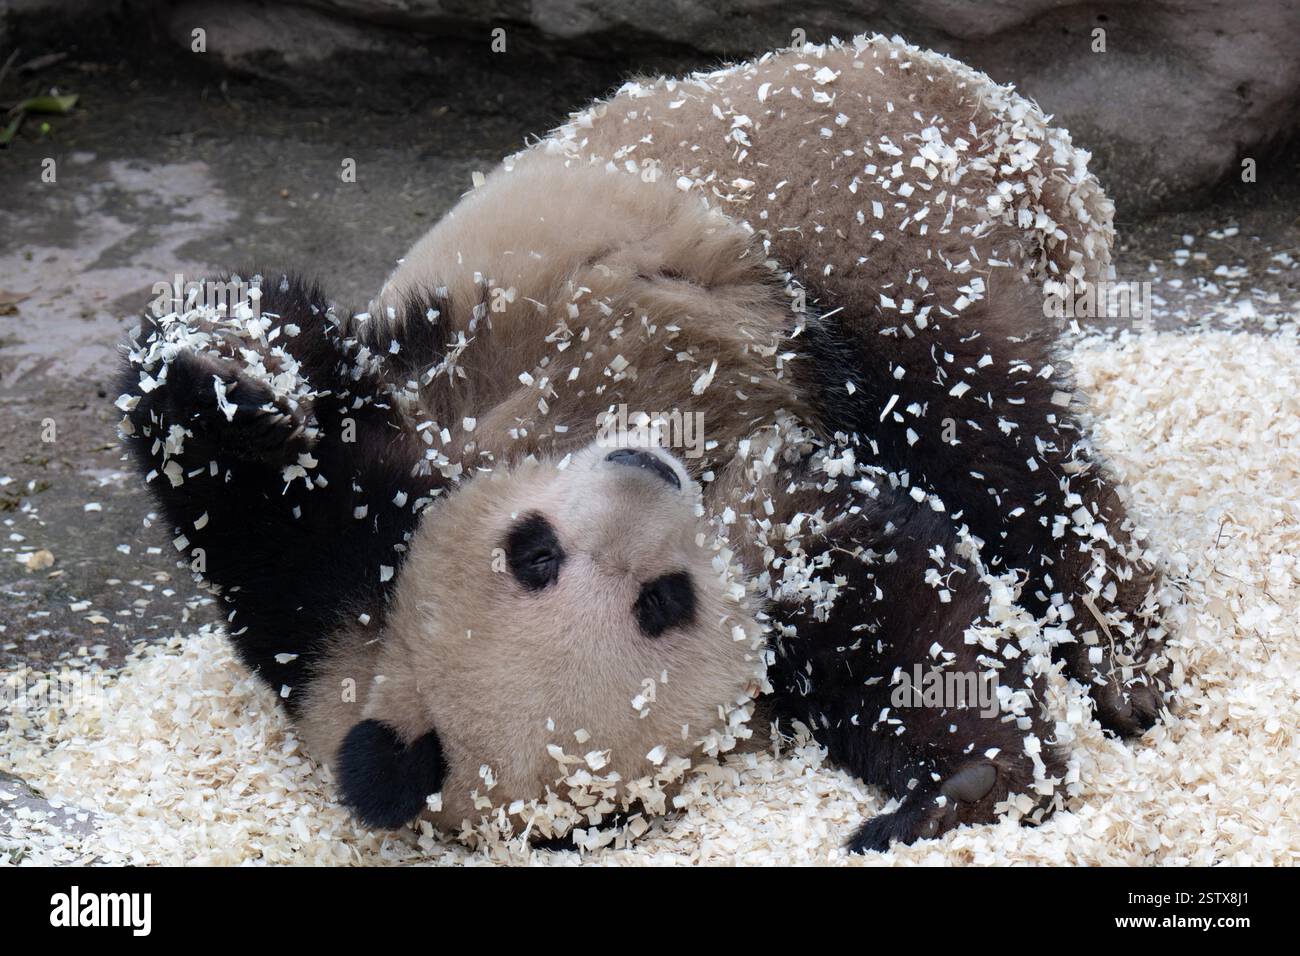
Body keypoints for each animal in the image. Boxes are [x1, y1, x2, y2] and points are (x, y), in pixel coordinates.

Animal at [117, 34, 1170, 853]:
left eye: (531, 550)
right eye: (664, 603)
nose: (646, 467)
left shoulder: (337, 548)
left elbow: (250, 457)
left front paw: (234, 385)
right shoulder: (763, 570)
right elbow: (890, 595)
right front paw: (965, 786)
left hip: (846, 207)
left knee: (985, 415)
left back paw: (1124, 656)